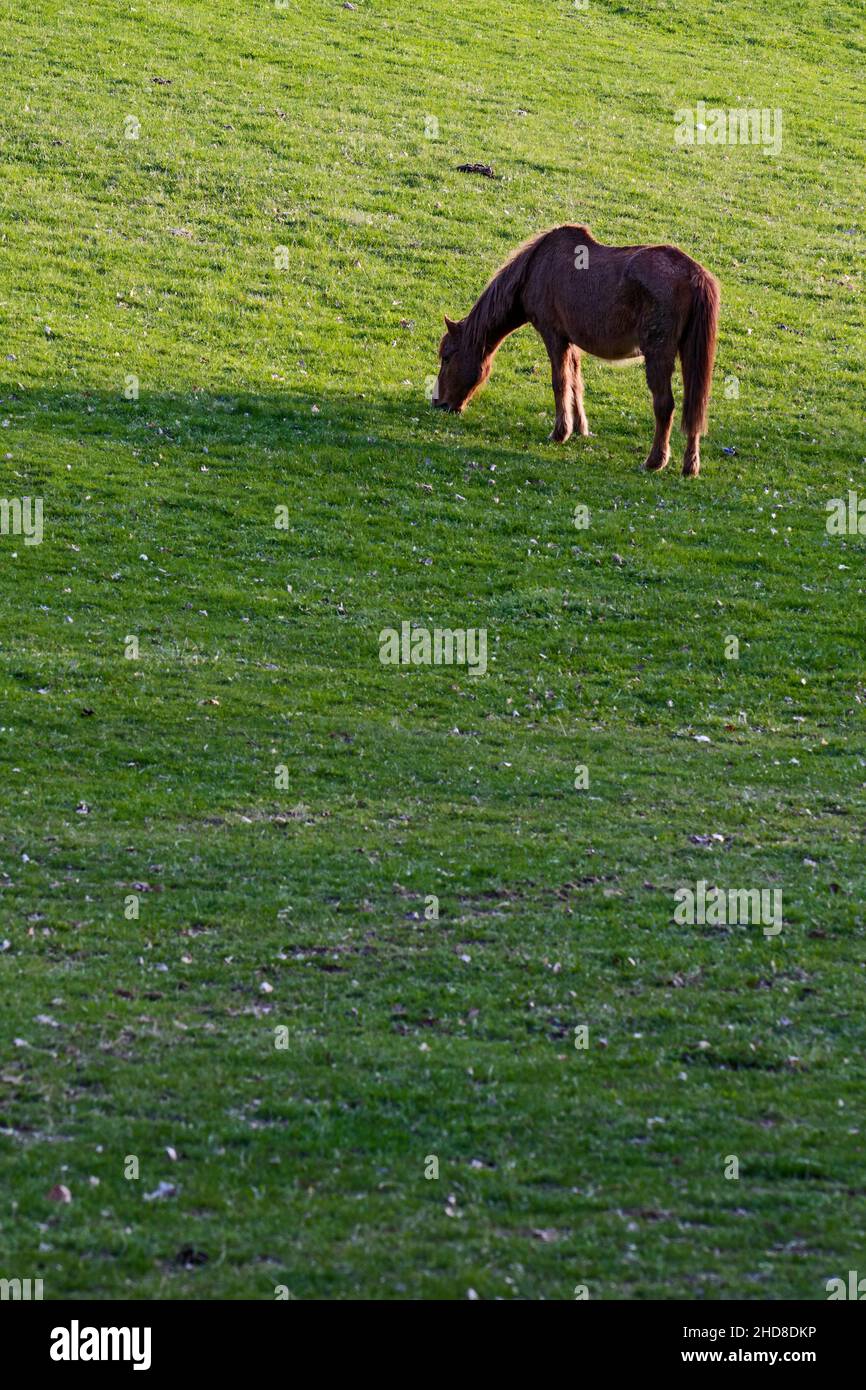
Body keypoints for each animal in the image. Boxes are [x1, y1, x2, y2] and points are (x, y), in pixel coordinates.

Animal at [432, 225, 720, 476]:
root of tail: (693, 274)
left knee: (665, 405)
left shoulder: (554, 336)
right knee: (694, 408)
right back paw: (690, 466)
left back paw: (654, 461)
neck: (535, 267)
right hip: (689, 356)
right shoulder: (572, 341)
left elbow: (560, 382)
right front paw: (580, 427)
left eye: (447, 357)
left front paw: (560, 432)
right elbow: (575, 382)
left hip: (659, 355)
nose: (439, 403)